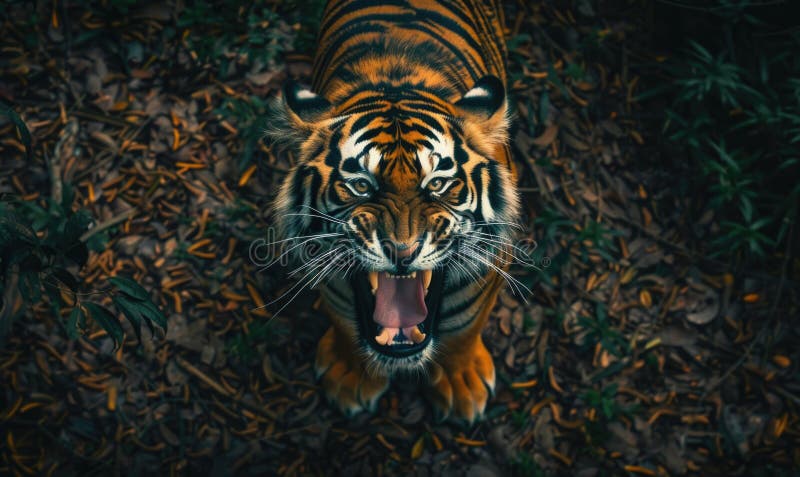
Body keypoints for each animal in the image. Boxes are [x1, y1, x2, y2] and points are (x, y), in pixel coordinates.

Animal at [268, 0, 520, 423]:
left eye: (437, 184)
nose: (402, 252)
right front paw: (350, 376)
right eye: (360, 185)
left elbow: (464, 325)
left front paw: (461, 386)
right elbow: (344, 319)